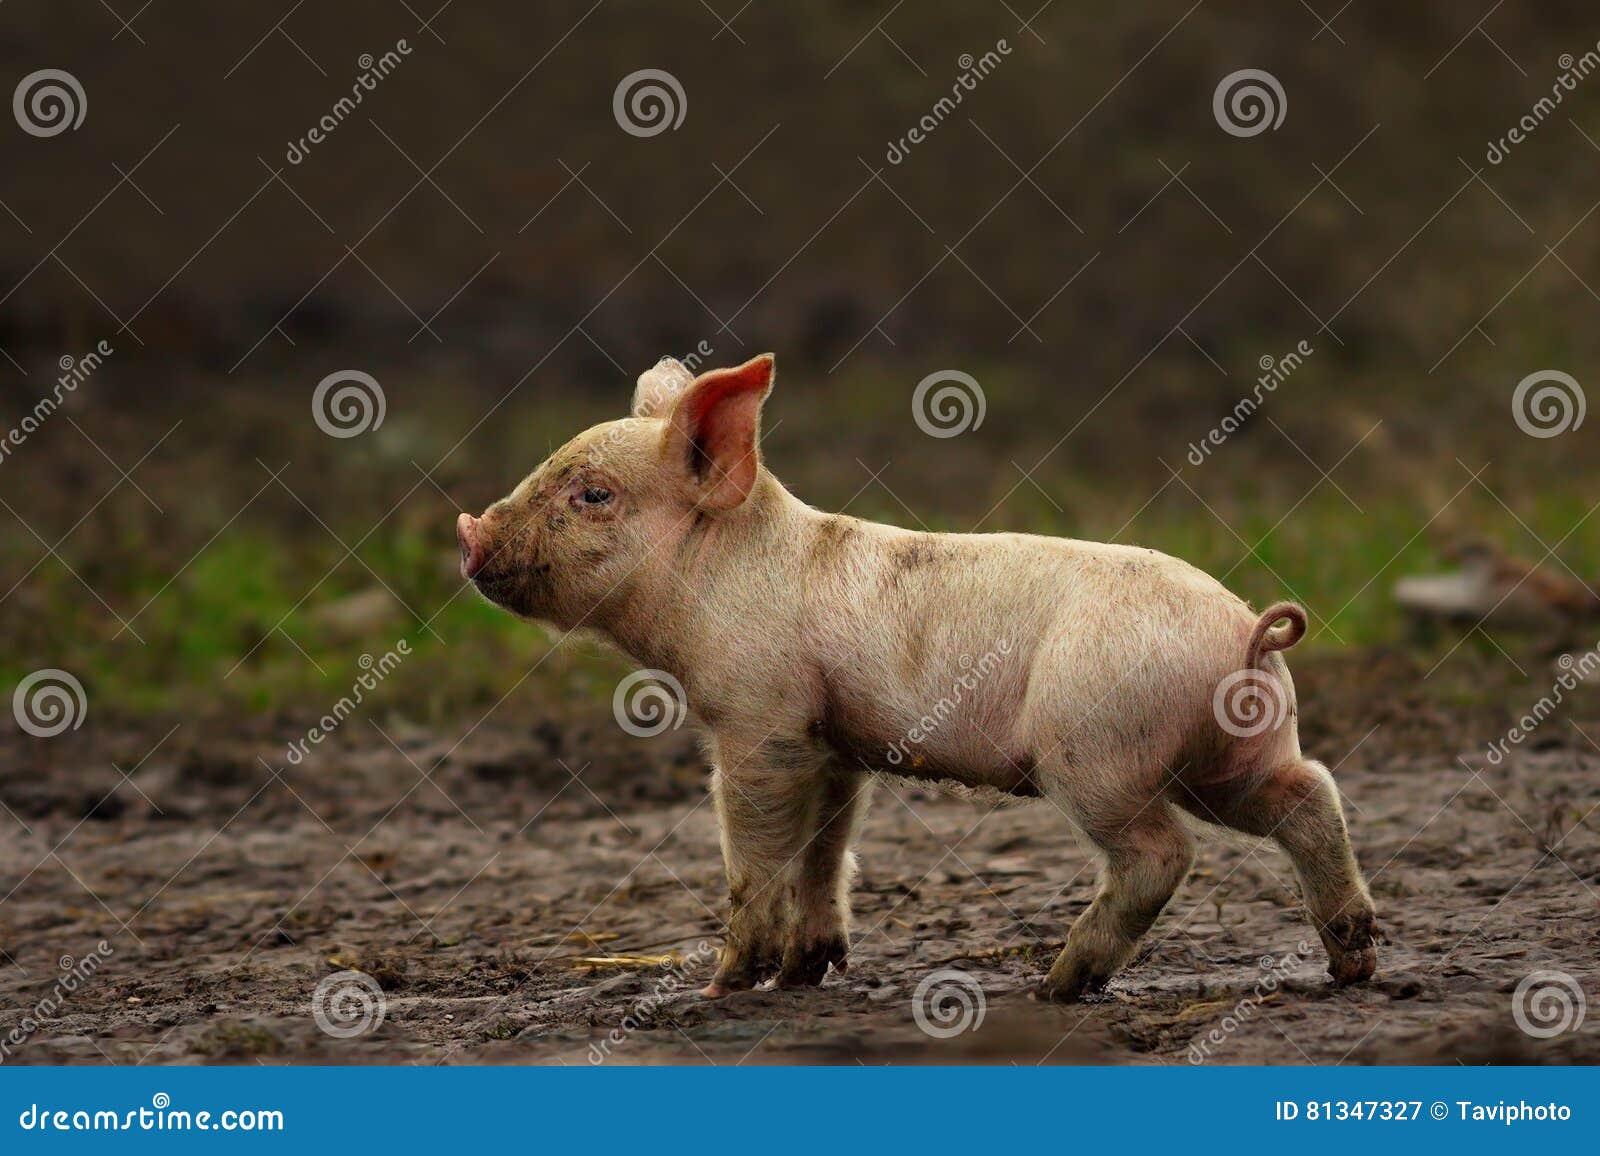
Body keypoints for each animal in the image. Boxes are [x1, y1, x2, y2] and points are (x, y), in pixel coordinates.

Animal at [454, 353, 1378, 1001]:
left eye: (593, 495)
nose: (467, 530)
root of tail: (1244, 631)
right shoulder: (833, 744)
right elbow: (827, 851)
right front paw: (808, 970)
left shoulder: (759, 718)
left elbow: (757, 850)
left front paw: (725, 985)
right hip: (1235, 752)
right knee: (1309, 796)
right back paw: (1351, 963)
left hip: (1098, 750)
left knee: (1163, 853)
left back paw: (1057, 985)